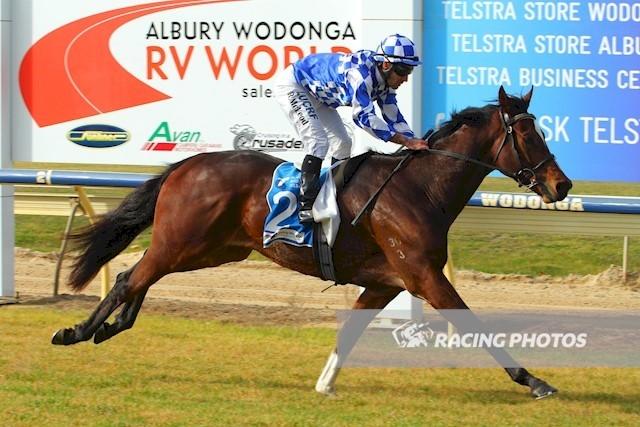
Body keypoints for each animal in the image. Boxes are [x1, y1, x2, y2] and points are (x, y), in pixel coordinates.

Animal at [52, 86, 572, 399]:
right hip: (185, 241)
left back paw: (108, 327)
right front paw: (533, 380)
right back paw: (75, 332)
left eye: (543, 130)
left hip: (208, 248)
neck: (419, 188)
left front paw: (325, 384)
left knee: (139, 276)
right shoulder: (424, 277)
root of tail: (187, 164)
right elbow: (474, 326)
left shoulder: (386, 282)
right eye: (528, 134)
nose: (561, 185)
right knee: (128, 278)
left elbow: (350, 333)